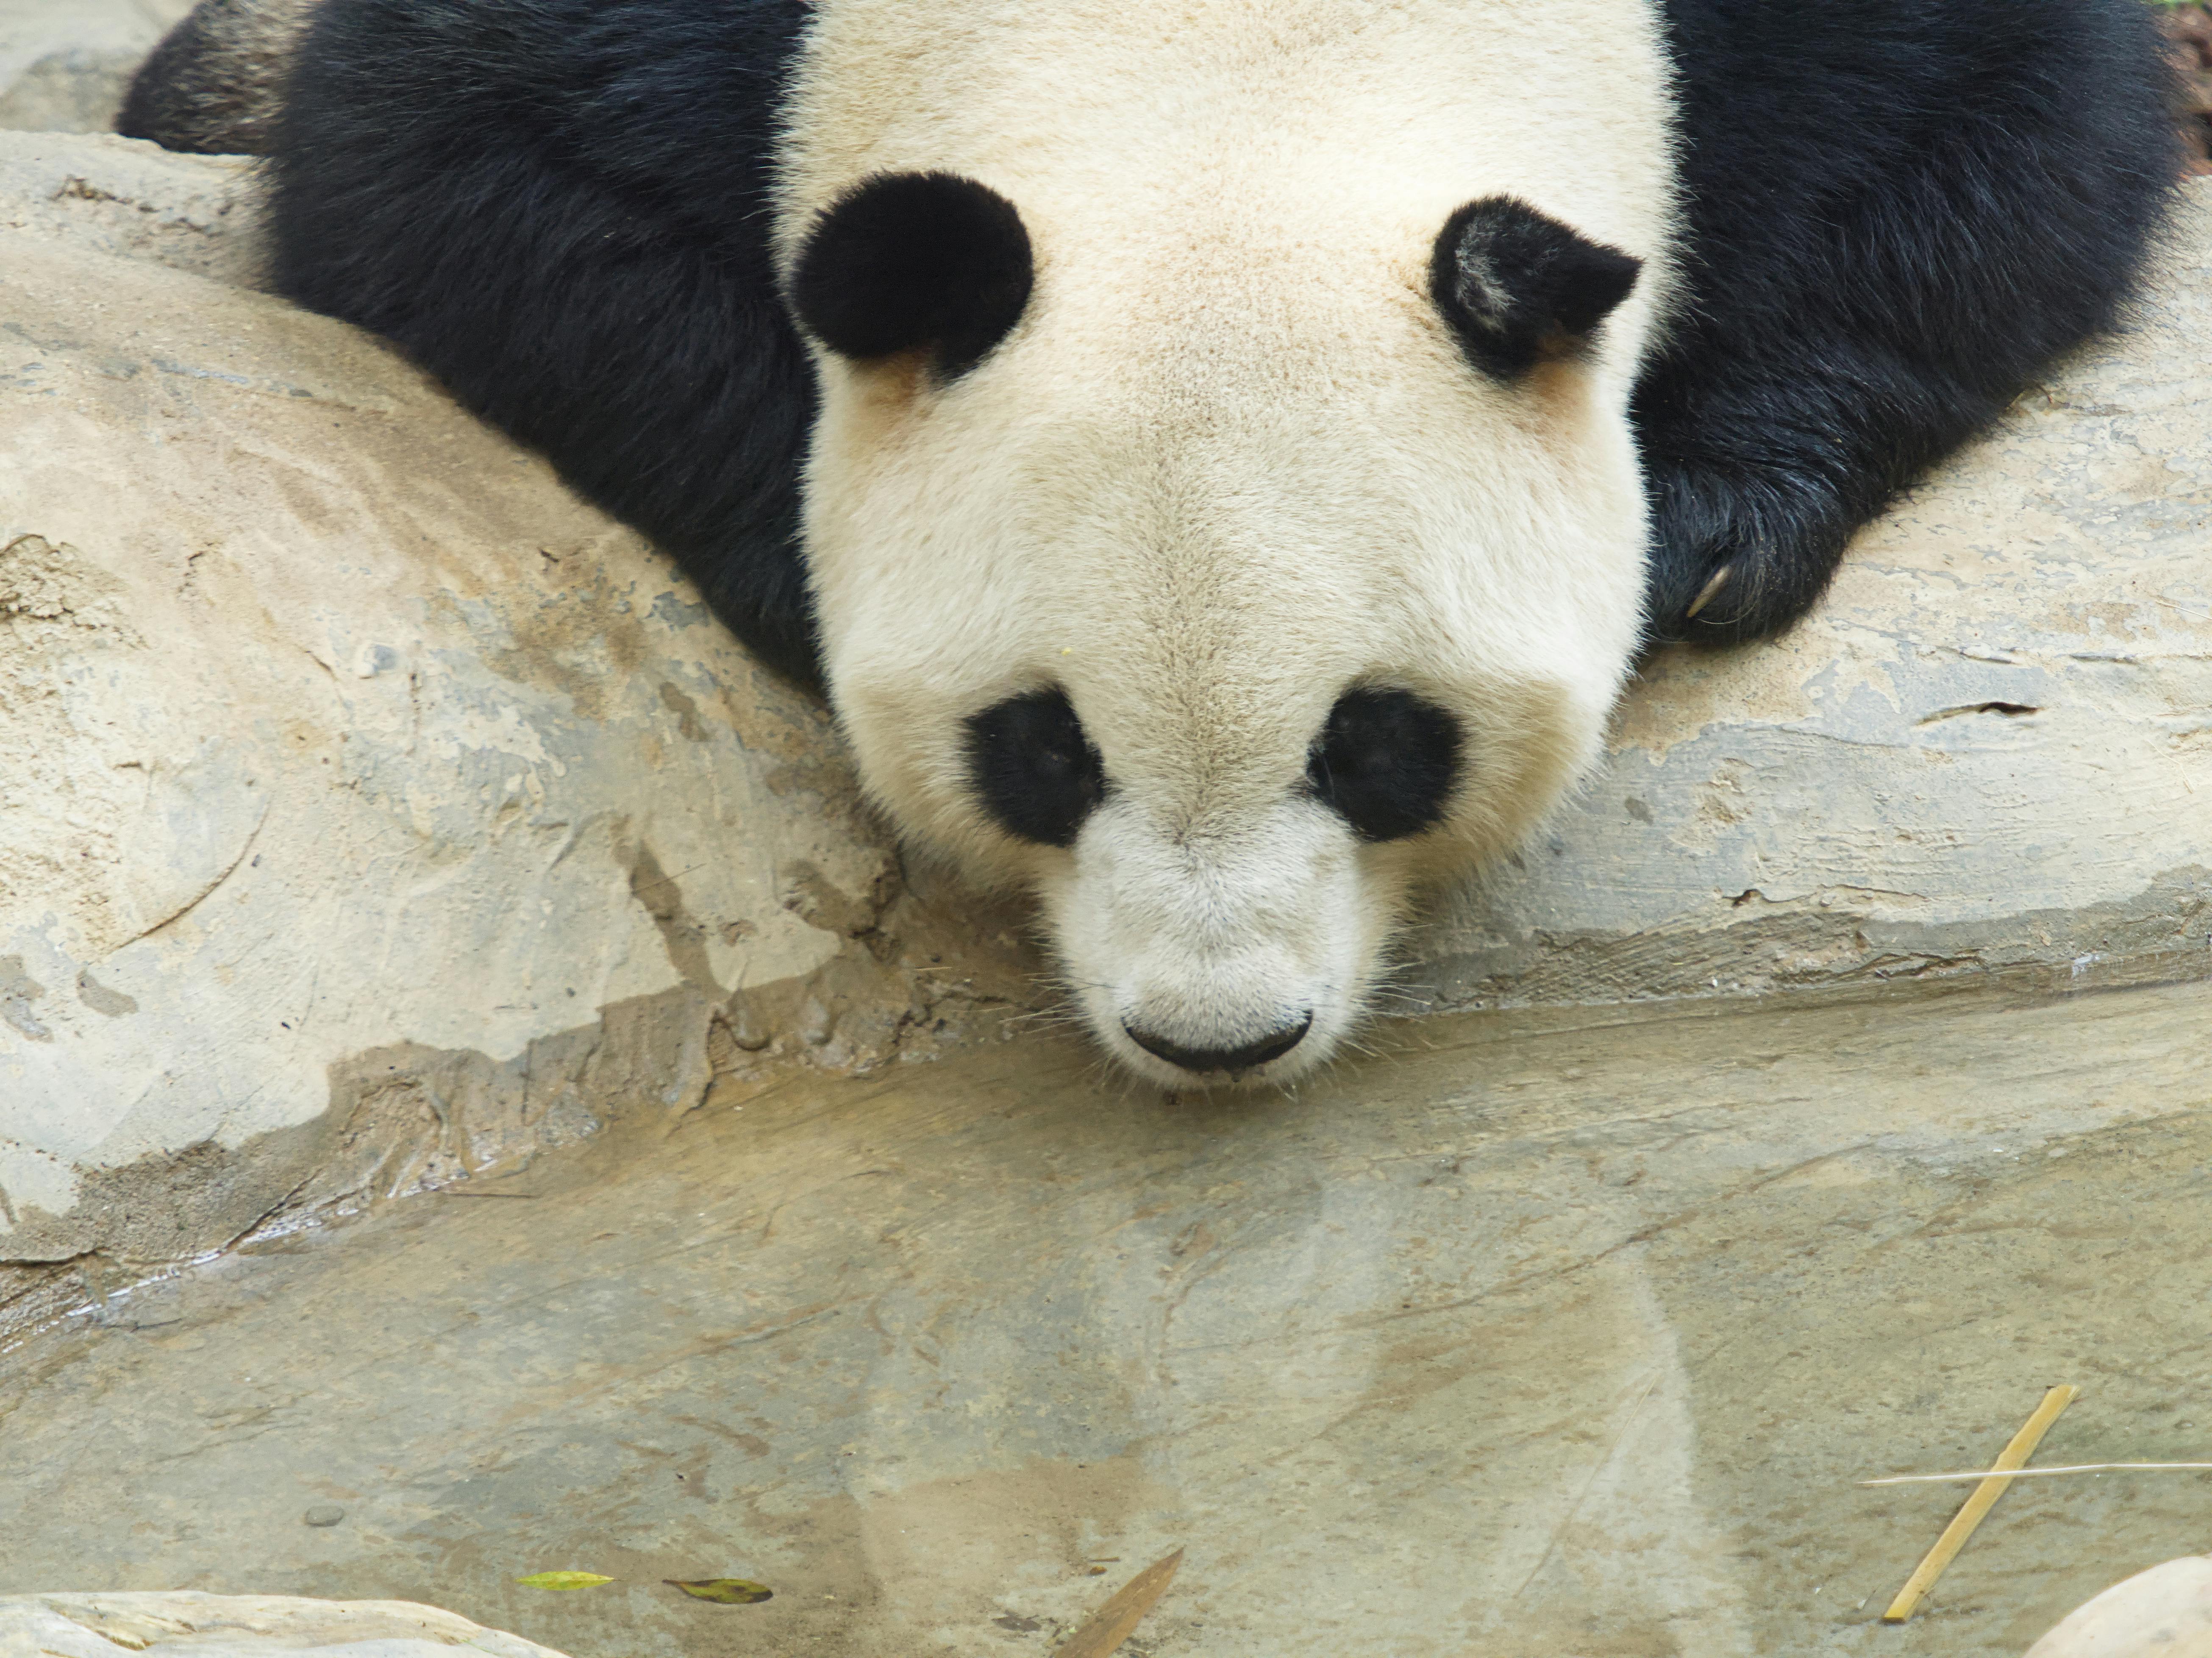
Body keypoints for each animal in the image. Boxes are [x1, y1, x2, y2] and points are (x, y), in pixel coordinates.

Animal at [120, 0, 2178, 1088]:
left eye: (1377, 739)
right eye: (1039, 744)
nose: (1218, 1036)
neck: (1234, 50)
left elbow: (1994, 129)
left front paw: (1722, 515)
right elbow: (453, 170)